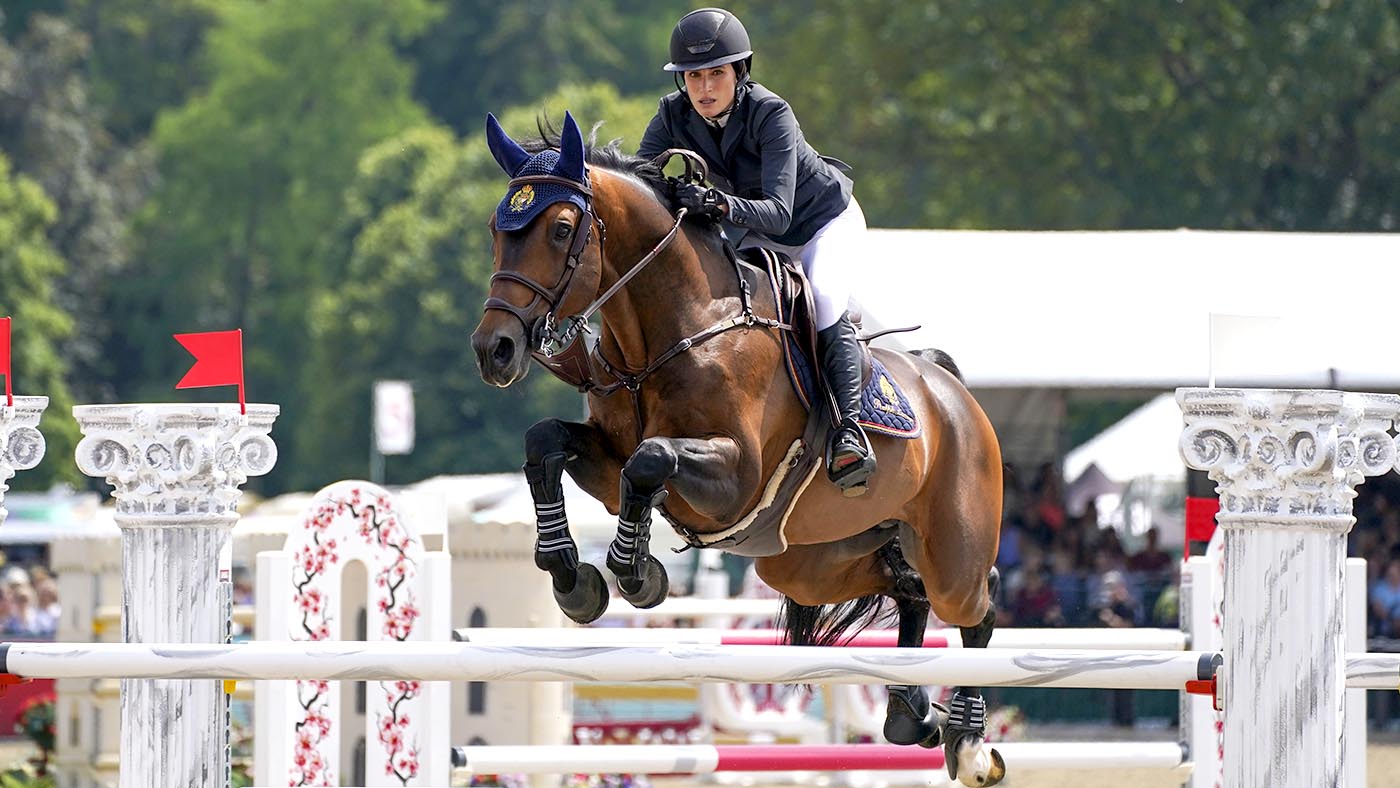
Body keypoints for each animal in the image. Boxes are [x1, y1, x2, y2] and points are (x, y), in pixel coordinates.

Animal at [470, 112, 1006, 787]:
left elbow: (651, 459)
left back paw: (969, 742)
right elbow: (547, 441)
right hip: (810, 563)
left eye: (562, 229)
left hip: (951, 548)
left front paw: (635, 575)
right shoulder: (607, 460)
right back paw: (912, 714)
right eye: (497, 229)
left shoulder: (735, 478)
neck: (673, 331)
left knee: (975, 606)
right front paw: (573, 578)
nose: (495, 350)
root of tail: (950, 388)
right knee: (905, 588)